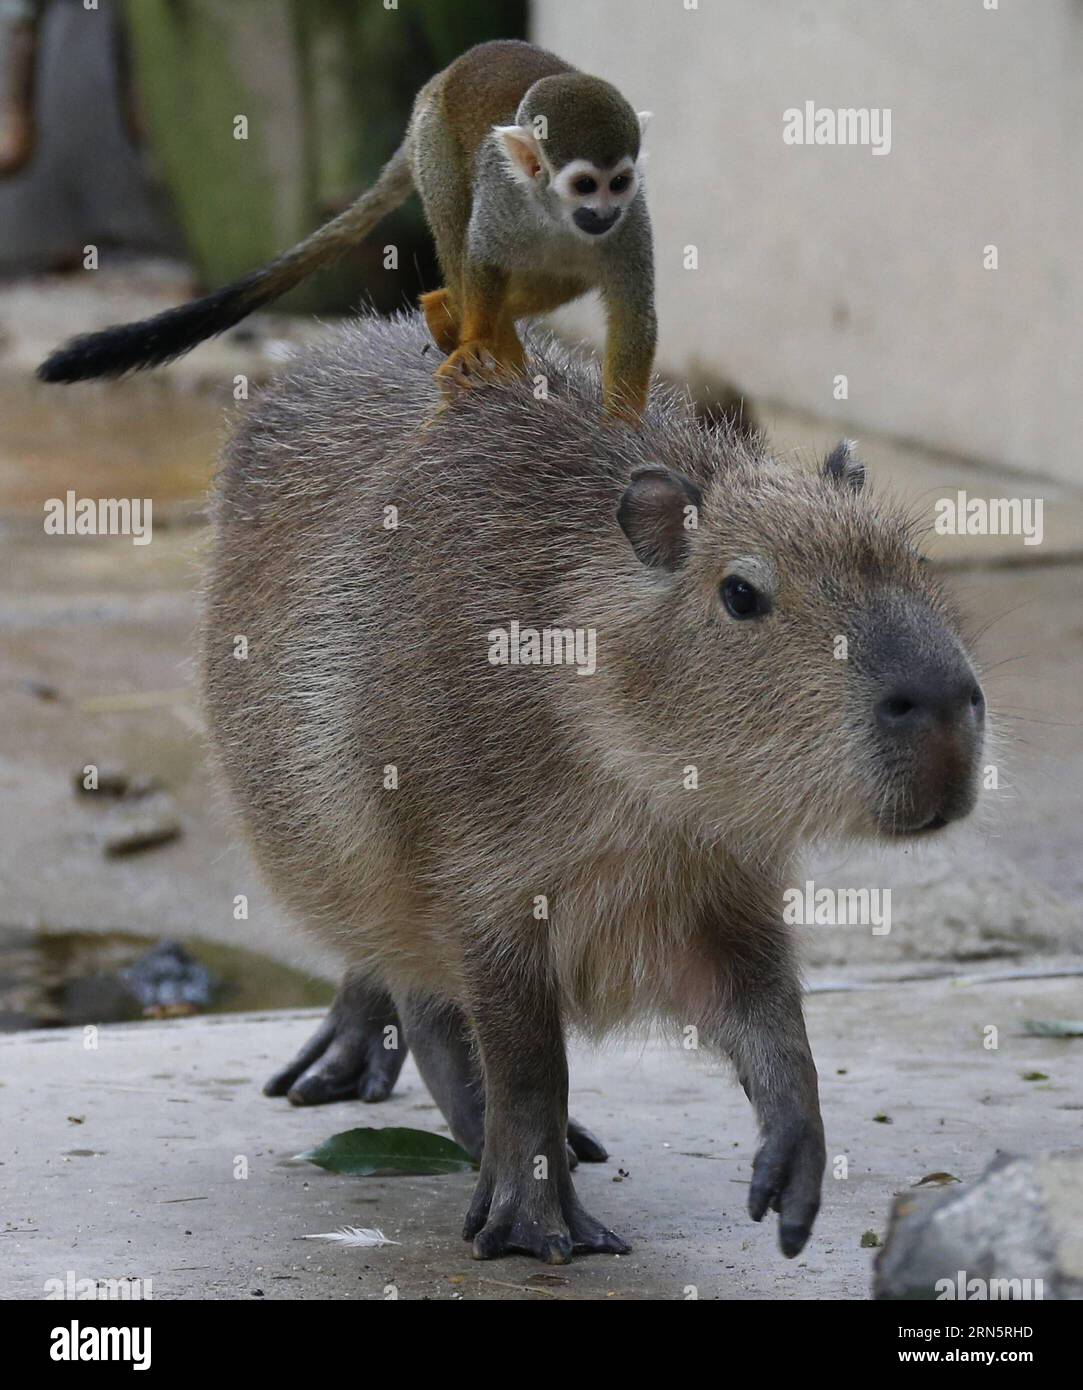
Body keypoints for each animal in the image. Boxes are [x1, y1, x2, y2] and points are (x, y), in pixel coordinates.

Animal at [37, 40, 657, 421]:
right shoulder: (506, 200)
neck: (555, 213)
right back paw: (461, 316)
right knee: (457, 224)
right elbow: (481, 257)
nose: (602, 212)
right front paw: (481, 340)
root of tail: (439, 79)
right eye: (585, 185)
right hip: (433, 138)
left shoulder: (632, 224)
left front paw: (620, 431)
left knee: (562, 275)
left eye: (619, 182)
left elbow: (634, 317)